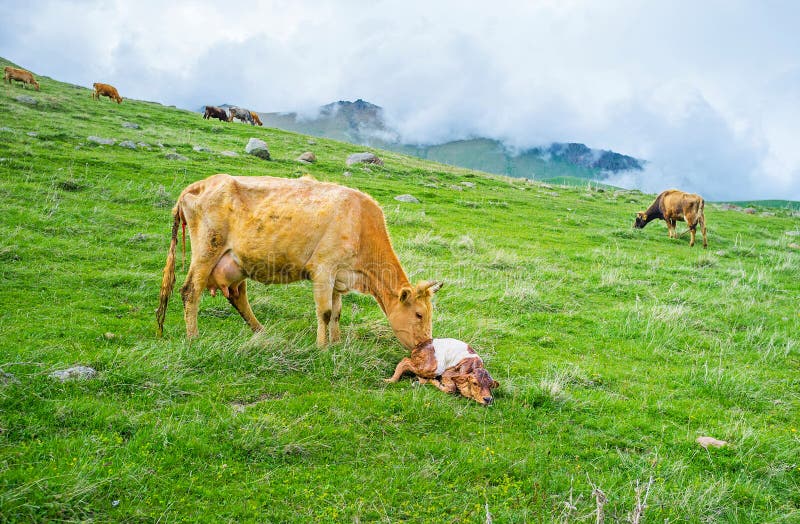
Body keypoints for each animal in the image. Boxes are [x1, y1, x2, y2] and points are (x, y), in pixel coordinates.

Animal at [156, 174, 442, 349]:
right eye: (419, 314)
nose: (426, 345)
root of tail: (201, 184)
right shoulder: (323, 269)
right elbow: (324, 312)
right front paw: (322, 347)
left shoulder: (339, 277)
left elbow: (337, 312)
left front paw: (336, 343)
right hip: (207, 251)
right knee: (190, 291)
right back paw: (193, 337)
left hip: (235, 264)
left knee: (238, 297)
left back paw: (261, 331)